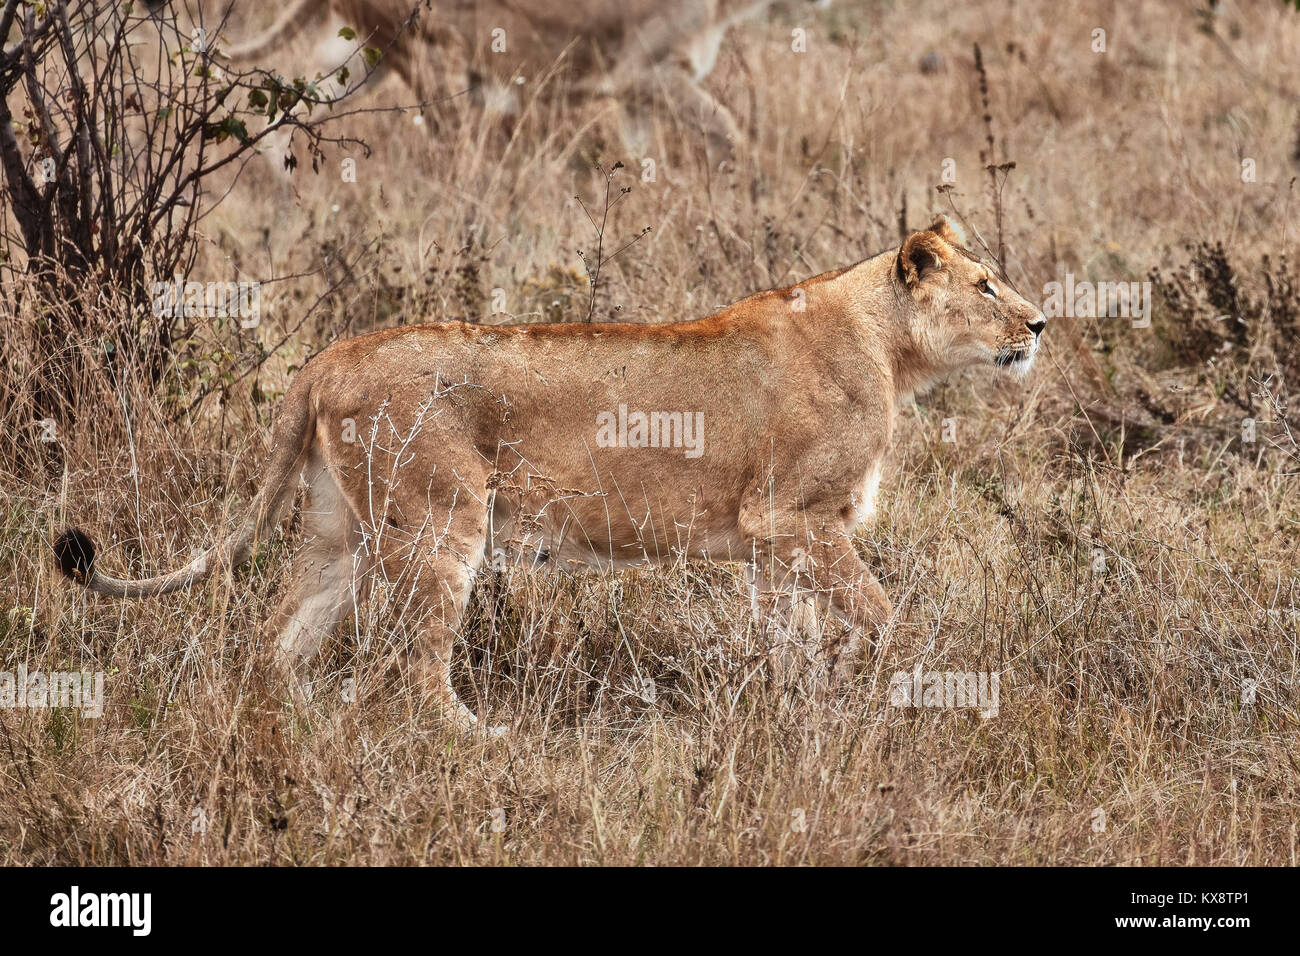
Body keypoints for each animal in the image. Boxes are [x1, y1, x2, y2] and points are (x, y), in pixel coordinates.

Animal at [53, 215, 1046, 733]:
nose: (1039, 324)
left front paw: (799, 711)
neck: (891, 347)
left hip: (345, 530)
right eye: (986, 286)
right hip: (440, 523)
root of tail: (329, 356)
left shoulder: (773, 545)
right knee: (413, 666)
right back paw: (476, 737)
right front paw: (892, 688)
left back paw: (295, 726)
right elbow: (883, 617)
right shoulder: (794, 519)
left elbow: (790, 640)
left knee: (279, 639)